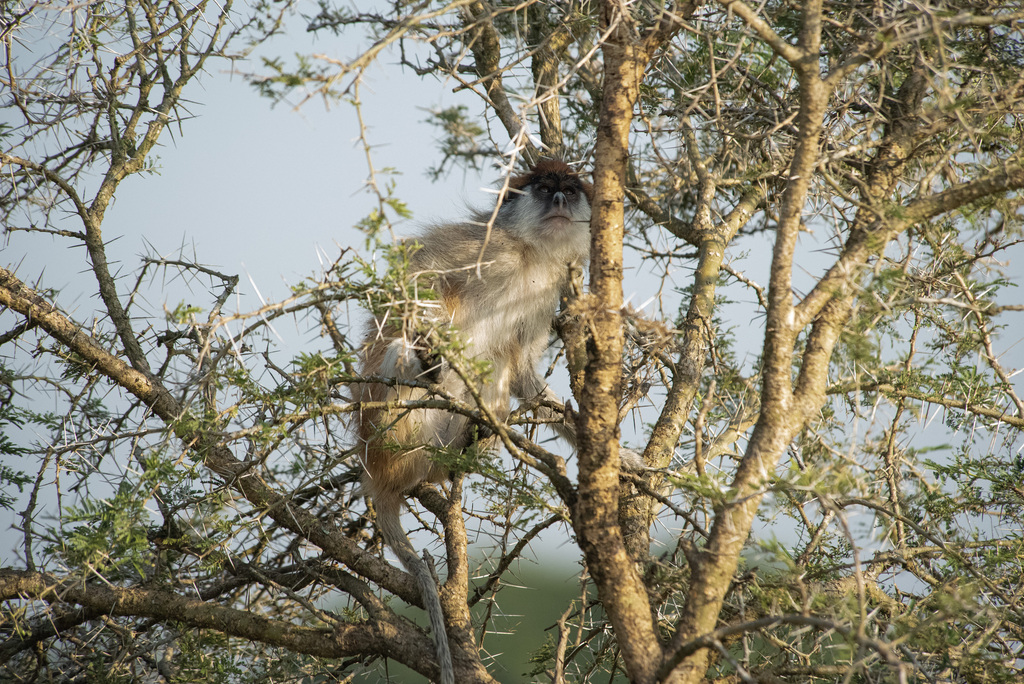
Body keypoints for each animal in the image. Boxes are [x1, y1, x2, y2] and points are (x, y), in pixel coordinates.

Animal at [356, 159, 639, 684]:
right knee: (408, 342)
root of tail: (378, 471)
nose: (559, 200)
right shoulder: (485, 247)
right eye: (545, 188)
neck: (529, 255)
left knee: (498, 374)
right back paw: (420, 364)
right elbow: (415, 277)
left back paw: (470, 442)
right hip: (391, 425)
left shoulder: (548, 292)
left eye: (571, 189)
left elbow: (525, 375)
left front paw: (621, 457)